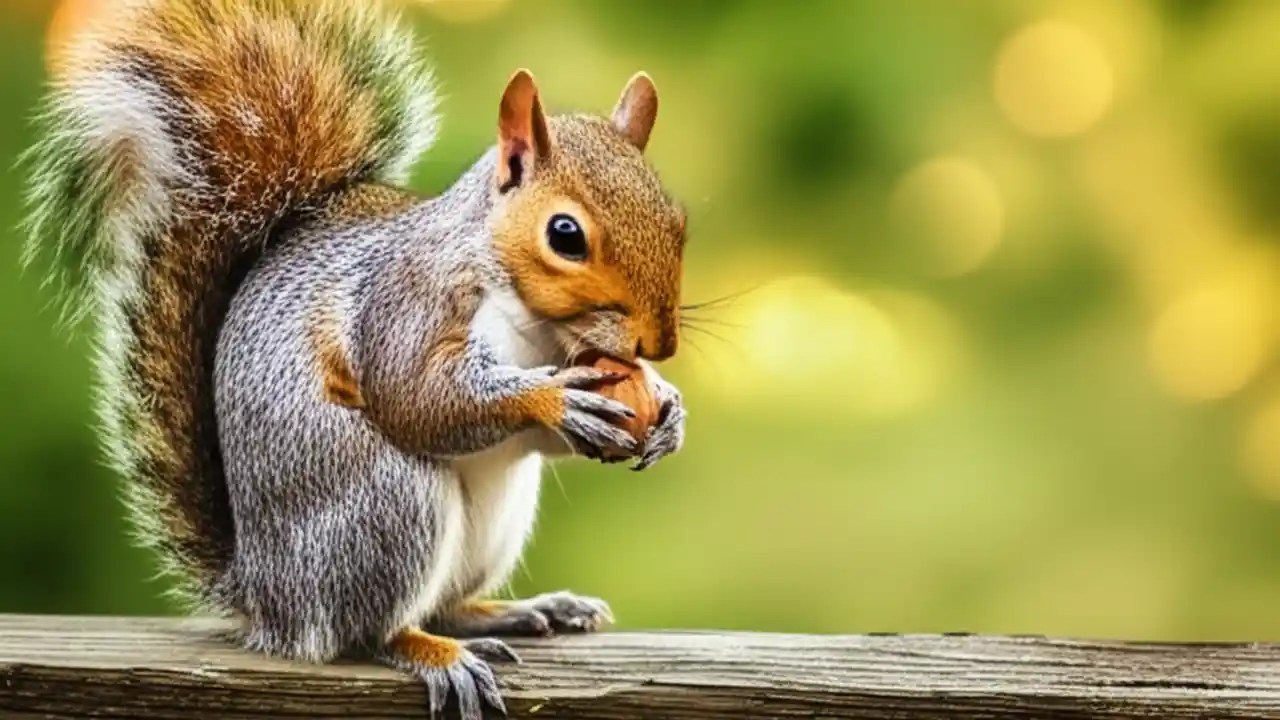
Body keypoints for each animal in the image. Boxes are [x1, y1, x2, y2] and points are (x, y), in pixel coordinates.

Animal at [24, 1, 688, 717]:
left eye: (678, 221)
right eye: (565, 234)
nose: (660, 344)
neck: (539, 328)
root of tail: (267, 596)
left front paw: (668, 409)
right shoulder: (405, 304)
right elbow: (419, 399)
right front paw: (556, 398)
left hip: (493, 523)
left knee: (443, 605)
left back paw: (520, 611)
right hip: (385, 508)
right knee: (364, 631)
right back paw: (435, 654)